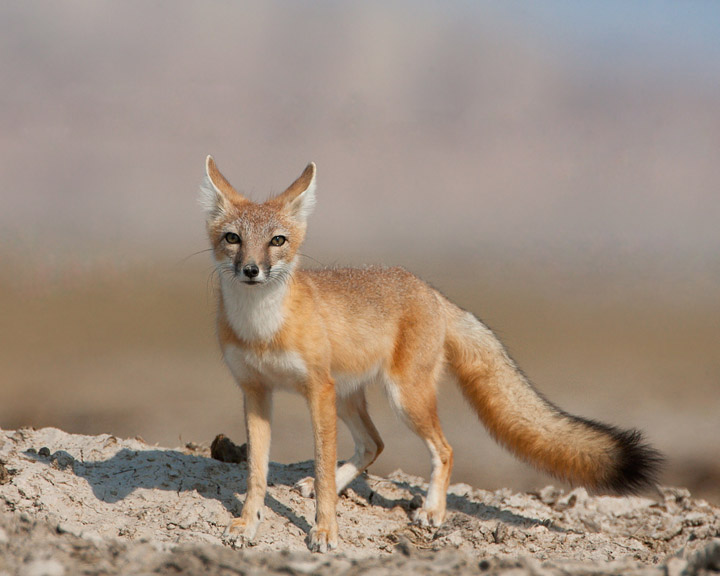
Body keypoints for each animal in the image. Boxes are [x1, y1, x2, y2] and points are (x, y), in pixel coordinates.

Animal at [200, 156, 662, 553]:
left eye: (277, 241)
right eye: (233, 239)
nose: (252, 270)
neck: (262, 330)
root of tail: (432, 291)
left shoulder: (317, 390)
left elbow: (322, 464)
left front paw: (325, 530)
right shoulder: (256, 392)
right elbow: (256, 473)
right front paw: (247, 524)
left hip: (402, 398)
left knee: (444, 448)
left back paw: (433, 510)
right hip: (350, 398)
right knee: (374, 444)